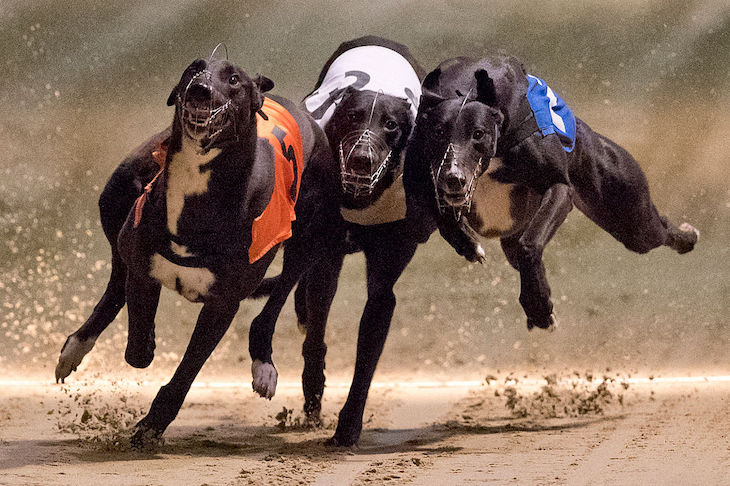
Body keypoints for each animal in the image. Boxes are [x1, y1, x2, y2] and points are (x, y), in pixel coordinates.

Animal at [55, 53, 341, 446]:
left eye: (233, 79)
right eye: (194, 68)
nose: (200, 89)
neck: (197, 180)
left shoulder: (223, 303)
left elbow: (188, 368)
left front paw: (152, 425)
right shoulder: (141, 259)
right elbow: (137, 343)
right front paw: (147, 344)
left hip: (308, 234)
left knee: (280, 292)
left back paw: (264, 365)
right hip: (116, 197)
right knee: (116, 280)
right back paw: (76, 346)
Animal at [247, 36, 426, 446]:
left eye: (391, 125)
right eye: (354, 116)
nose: (362, 159)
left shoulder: (384, 282)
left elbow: (369, 345)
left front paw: (348, 427)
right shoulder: (313, 240)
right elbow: (292, 300)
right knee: (306, 295)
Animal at [404, 54, 699, 331]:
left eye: (478, 133)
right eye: (438, 133)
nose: (453, 178)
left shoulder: (558, 188)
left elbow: (530, 244)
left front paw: (538, 307)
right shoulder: (418, 180)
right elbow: (439, 214)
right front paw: (467, 243)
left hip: (630, 217)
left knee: (656, 231)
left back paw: (687, 236)